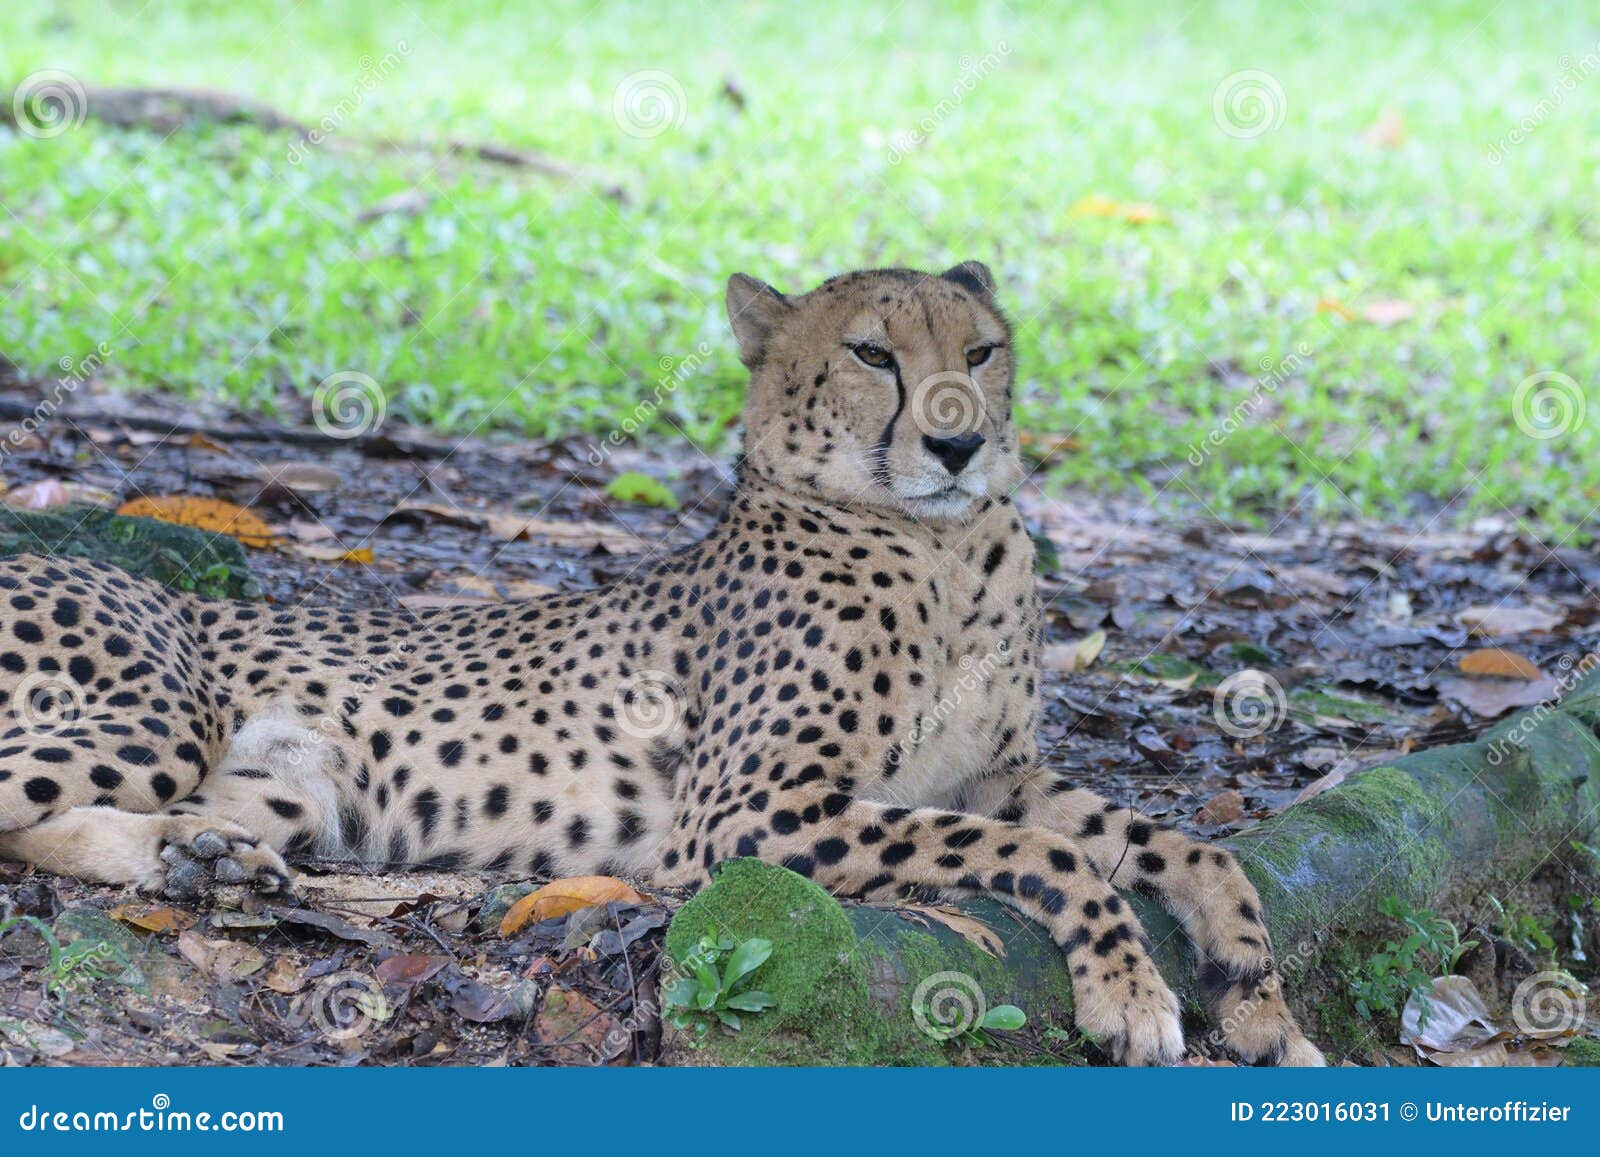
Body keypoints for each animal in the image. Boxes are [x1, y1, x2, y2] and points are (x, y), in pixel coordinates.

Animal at [0, 262, 1323, 1066]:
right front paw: (1131, 991)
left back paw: (205, 857)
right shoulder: (746, 818)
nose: (957, 440)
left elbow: (1178, 842)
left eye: (985, 349)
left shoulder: (996, 771)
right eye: (872, 356)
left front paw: (1259, 998)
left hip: (285, 780)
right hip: (159, 710)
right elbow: (1048, 857)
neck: (943, 542)